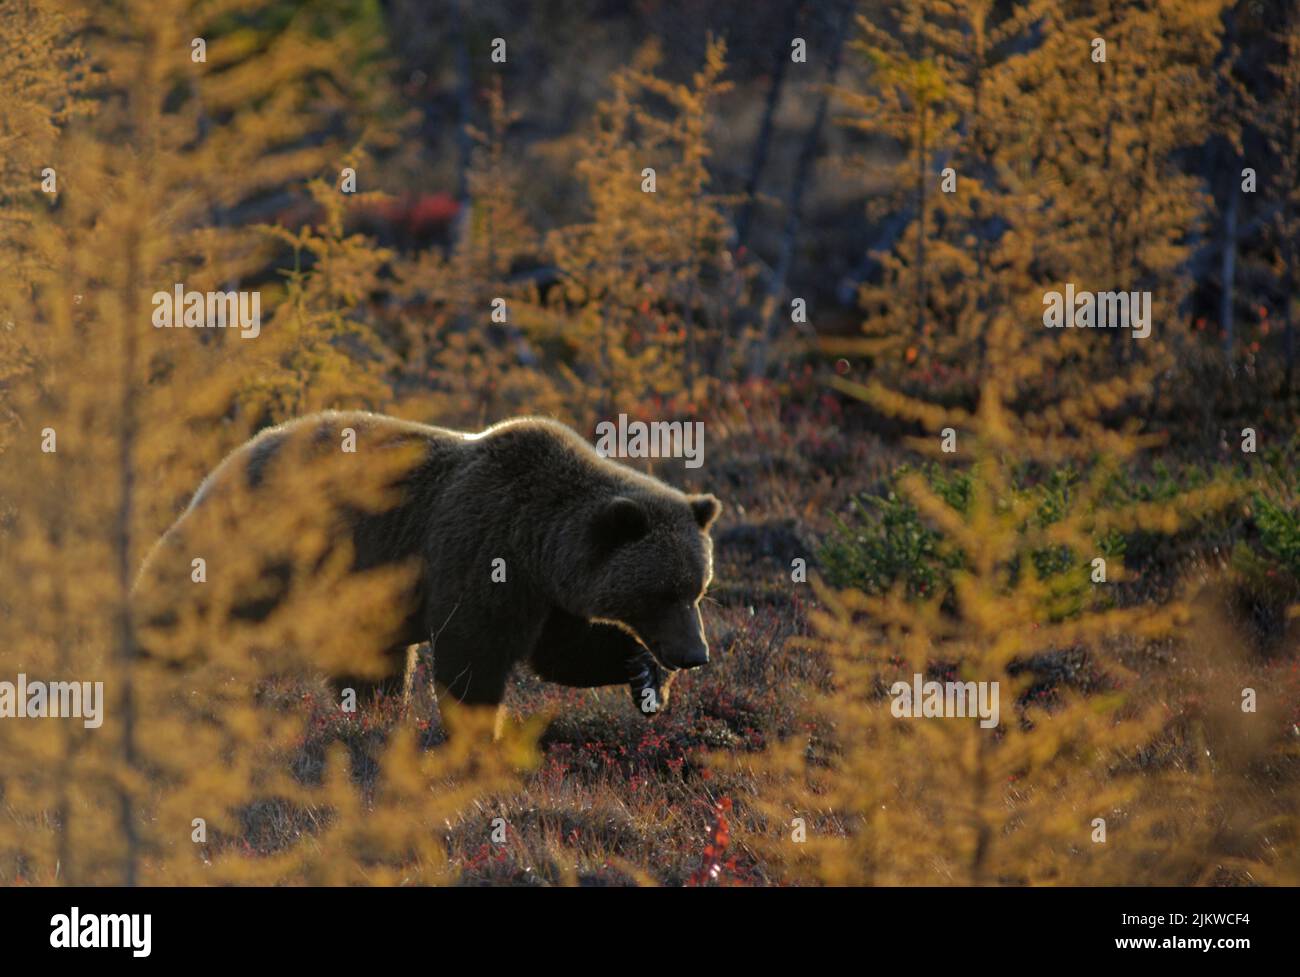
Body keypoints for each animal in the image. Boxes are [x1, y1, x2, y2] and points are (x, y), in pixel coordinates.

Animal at [132, 411, 722, 722]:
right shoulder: (483, 553)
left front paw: (645, 677)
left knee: (371, 657)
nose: (695, 655)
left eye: (697, 589)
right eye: (661, 592)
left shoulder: (546, 595)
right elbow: (472, 655)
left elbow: (562, 653)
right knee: (184, 597)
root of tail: (243, 449)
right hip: (264, 541)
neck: (538, 545)